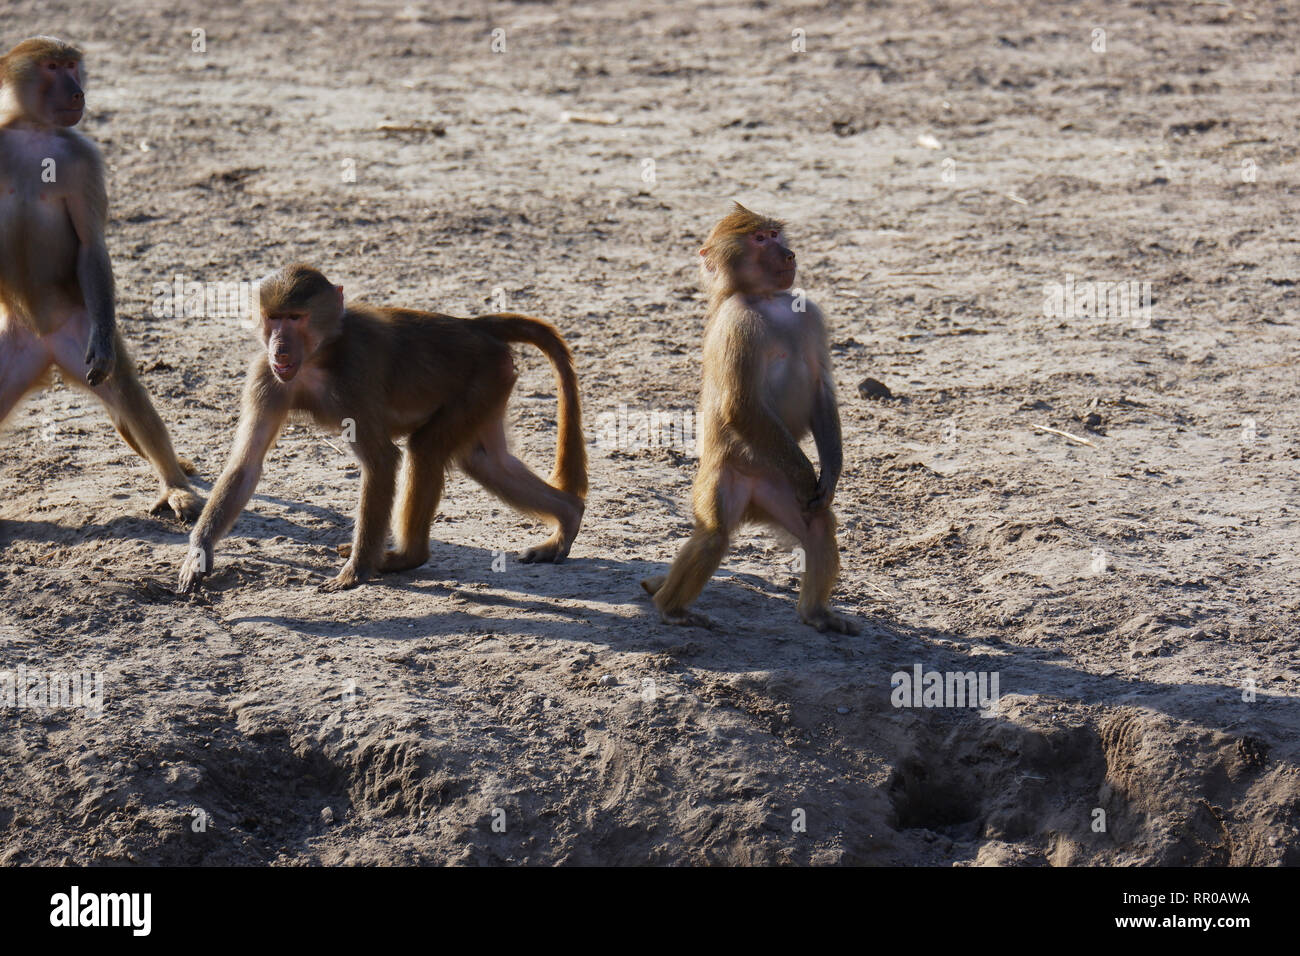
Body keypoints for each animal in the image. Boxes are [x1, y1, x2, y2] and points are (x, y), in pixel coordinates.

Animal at [0, 36, 199, 521]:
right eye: (53, 67)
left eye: (73, 65)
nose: (77, 93)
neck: (33, 131)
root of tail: (46, 348)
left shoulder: (85, 159)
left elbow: (91, 245)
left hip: (83, 331)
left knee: (124, 391)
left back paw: (175, 485)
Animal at [177, 264, 587, 593]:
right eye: (273, 317)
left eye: (295, 318)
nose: (279, 346)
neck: (319, 355)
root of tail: (469, 325)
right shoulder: (266, 376)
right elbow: (246, 464)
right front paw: (200, 554)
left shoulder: (354, 375)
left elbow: (381, 460)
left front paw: (355, 571)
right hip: (494, 383)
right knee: (487, 461)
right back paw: (568, 516)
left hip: (485, 376)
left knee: (426, 449)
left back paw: (407, 557)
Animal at [641, 203, 858, 634]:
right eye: (759, 240)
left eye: (774, 234)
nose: (788, 255)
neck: (768, 299)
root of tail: (753, 507)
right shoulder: (738, 325)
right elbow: (740, 405)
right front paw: (809, 475)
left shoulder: (809, 313)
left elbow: (821, 389)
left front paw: (829, 475)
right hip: (725, 477)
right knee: (713, 537)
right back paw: (670, 608)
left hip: (777, 489)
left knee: (819, 526)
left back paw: (816, 614)